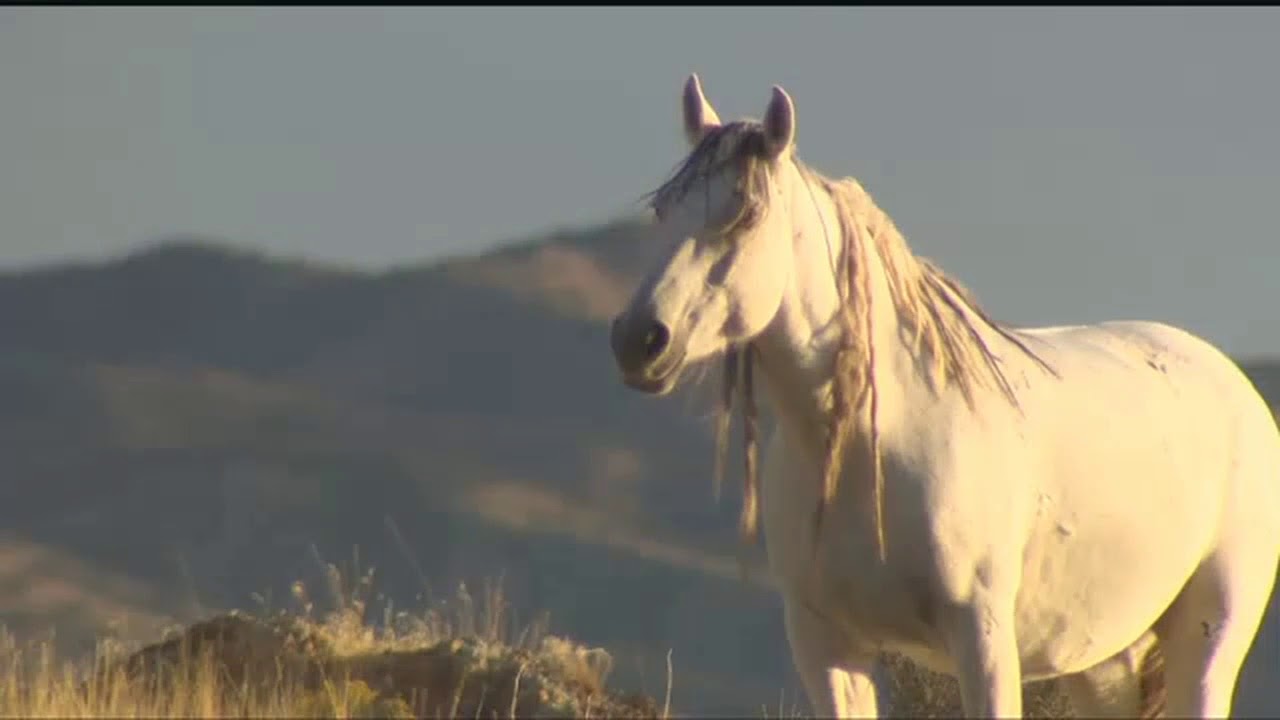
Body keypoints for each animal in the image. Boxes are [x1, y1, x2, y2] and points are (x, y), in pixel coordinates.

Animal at [608, 73, 1280, 718]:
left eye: (744, 215)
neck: (878, 442)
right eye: (663, 210)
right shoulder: (826, 644)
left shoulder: (981, 637)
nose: (638, 340)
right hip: (1104, 657)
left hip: (1208, 633)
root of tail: (1233, 384)